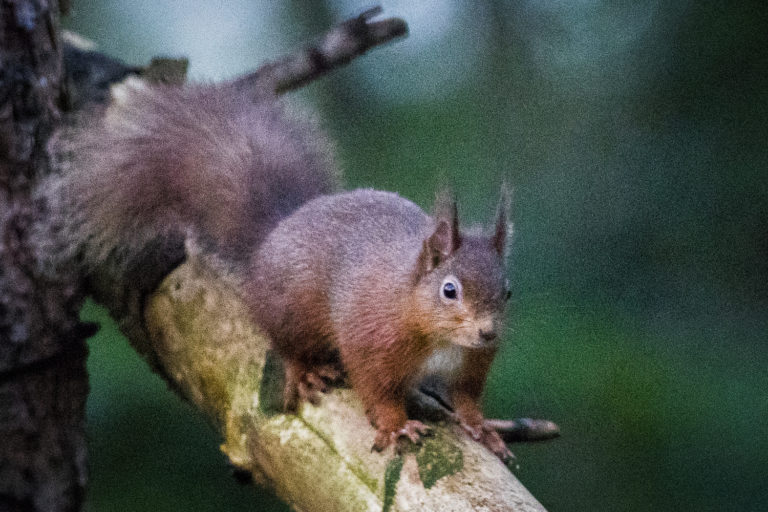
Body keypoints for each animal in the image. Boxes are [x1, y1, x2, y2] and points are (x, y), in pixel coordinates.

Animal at [43, 69, 513, 461]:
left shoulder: (470, 367)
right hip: (291, 311)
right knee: (285, 344)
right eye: (449, 290)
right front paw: (396, 428)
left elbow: (467, 399)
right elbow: (377, 391)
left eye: (507, 291)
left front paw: (483, 427)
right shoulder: (371, 340)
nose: (488, 332)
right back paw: (305, 371)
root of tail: (273, 236)